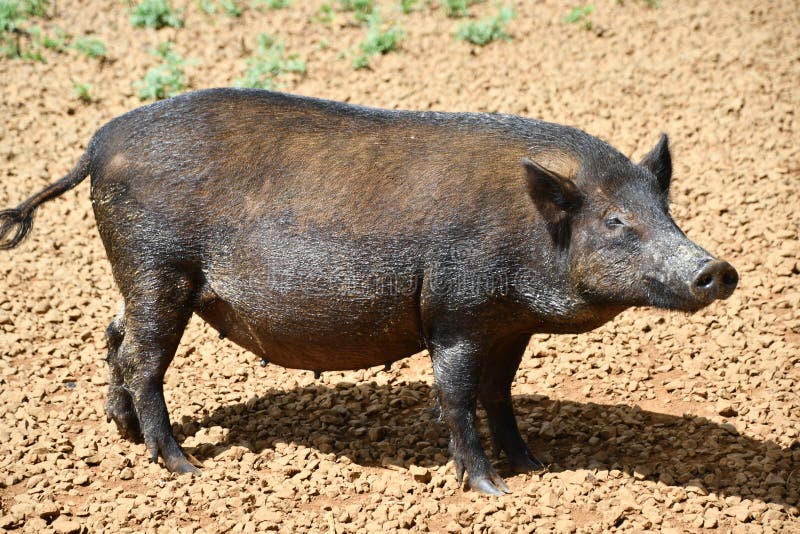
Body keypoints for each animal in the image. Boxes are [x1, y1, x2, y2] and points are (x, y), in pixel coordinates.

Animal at [0, 88, 738, 495]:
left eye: (666, 211)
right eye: (615, 222)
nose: (718, 270)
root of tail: (98, 145)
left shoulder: (510, 324)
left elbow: (500, 396)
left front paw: (536, 463)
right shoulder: (457, 314)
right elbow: (457, 397)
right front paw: (493, 490)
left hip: (140, 273)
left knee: (114, 336)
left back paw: (122, 433)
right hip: (159, 266)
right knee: (143, 359)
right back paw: (182, 467)